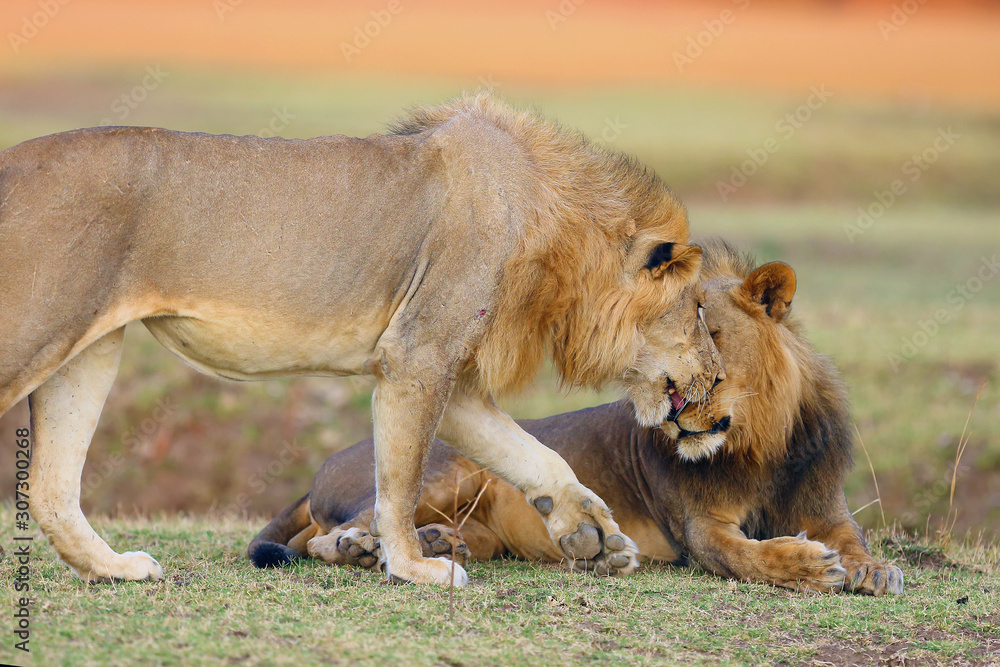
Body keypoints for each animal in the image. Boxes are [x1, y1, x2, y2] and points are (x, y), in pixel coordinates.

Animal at [0, 93, 724, 585]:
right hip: (31, 331)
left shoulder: (453, 379)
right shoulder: (417, 356)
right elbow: (397, 483)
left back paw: (115, 568)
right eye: (698, 310)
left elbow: (535, 456)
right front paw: (413, 566)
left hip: (87, 351)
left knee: (51, 488)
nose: (718, 379)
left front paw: (594, 536)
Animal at [249, 241, 903, 596]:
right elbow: (745, 555)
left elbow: (855, 538)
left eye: (711, 335)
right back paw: (366, 549)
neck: (758, 440)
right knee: (334, 535)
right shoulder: (699, 527)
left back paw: (441, 543)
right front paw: (808, 565)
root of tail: (323, 468)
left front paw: (875, 570)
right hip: (446, 468)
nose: (674, 413)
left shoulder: (825, 505)